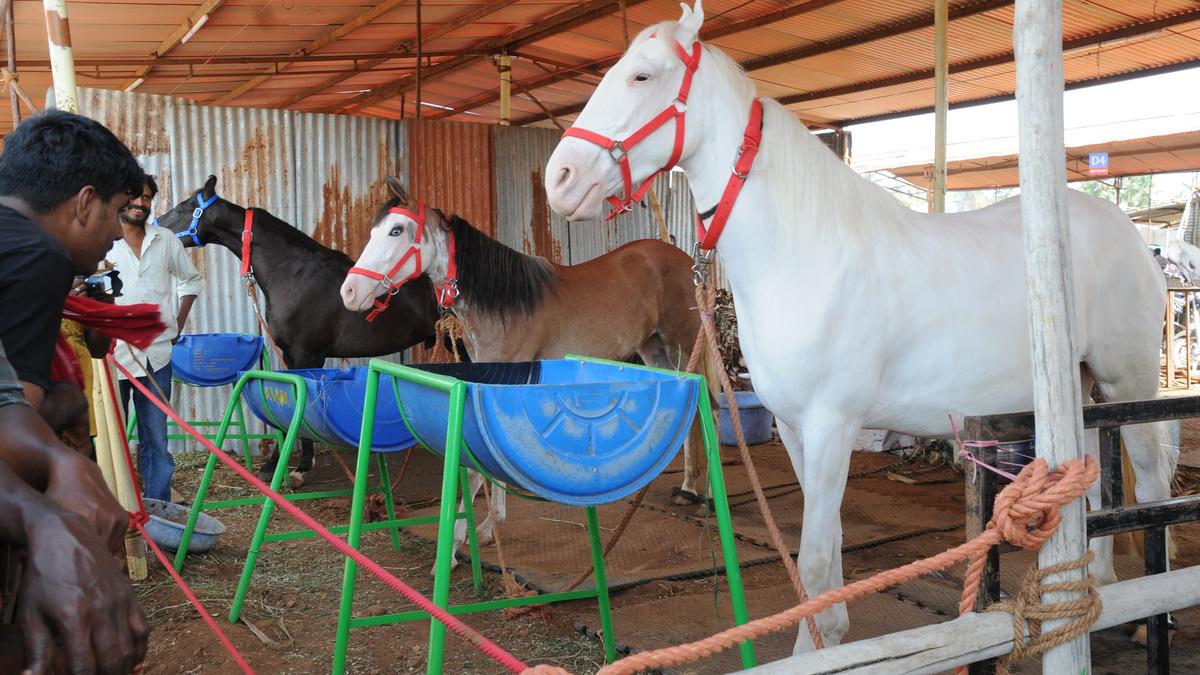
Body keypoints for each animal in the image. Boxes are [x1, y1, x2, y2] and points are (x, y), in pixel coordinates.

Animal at [157, 175, 448, 484]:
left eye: (180, 208)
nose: (153, 225)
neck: (293, 273)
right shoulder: (289, 352)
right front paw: (276, 463)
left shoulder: (307, 353)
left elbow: (301, 400)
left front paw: (300, 465)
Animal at [339, 176, 721, 567]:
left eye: (396, 230)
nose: (350, 292)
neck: (502, 301)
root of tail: (688, 263)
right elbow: (489, 456)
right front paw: (489, 528)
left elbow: (478, 466)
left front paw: (457, 545)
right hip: (655, 349)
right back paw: (687, 488)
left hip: (683, 343)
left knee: (710, 409)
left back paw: (704, 497)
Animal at [544, 0, 1176, 653]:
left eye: (642, 76)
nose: (559, 179)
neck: (804, 249)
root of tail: (1131, 234)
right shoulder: (796, 429)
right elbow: (826, 545)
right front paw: (832, 631)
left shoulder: (832, 426)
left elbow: (816, 554)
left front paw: (811, 652)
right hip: (1079, 389)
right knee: (1094, 485)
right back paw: (1100, 590)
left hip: (1127, 384)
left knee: (1152, 481)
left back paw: (1149, 613)